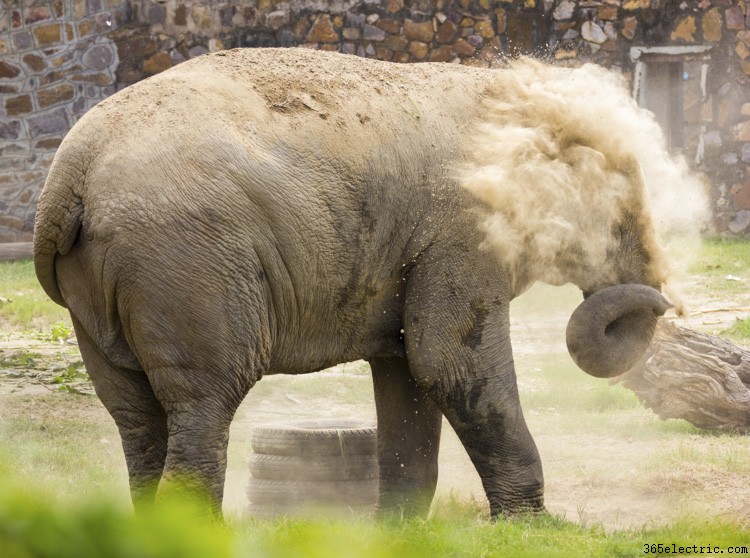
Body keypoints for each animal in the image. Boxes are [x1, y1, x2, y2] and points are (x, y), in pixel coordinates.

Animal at [33, 48, 676, 520]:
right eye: (620, 209)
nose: (665, 298)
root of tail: (71, 172)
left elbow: (410, 373)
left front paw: (398, 530)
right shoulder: (461, 232)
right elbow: (449, 362)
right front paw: (531, 527)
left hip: (101, 287)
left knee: (135, 413)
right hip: (189, 263)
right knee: (204, 398)